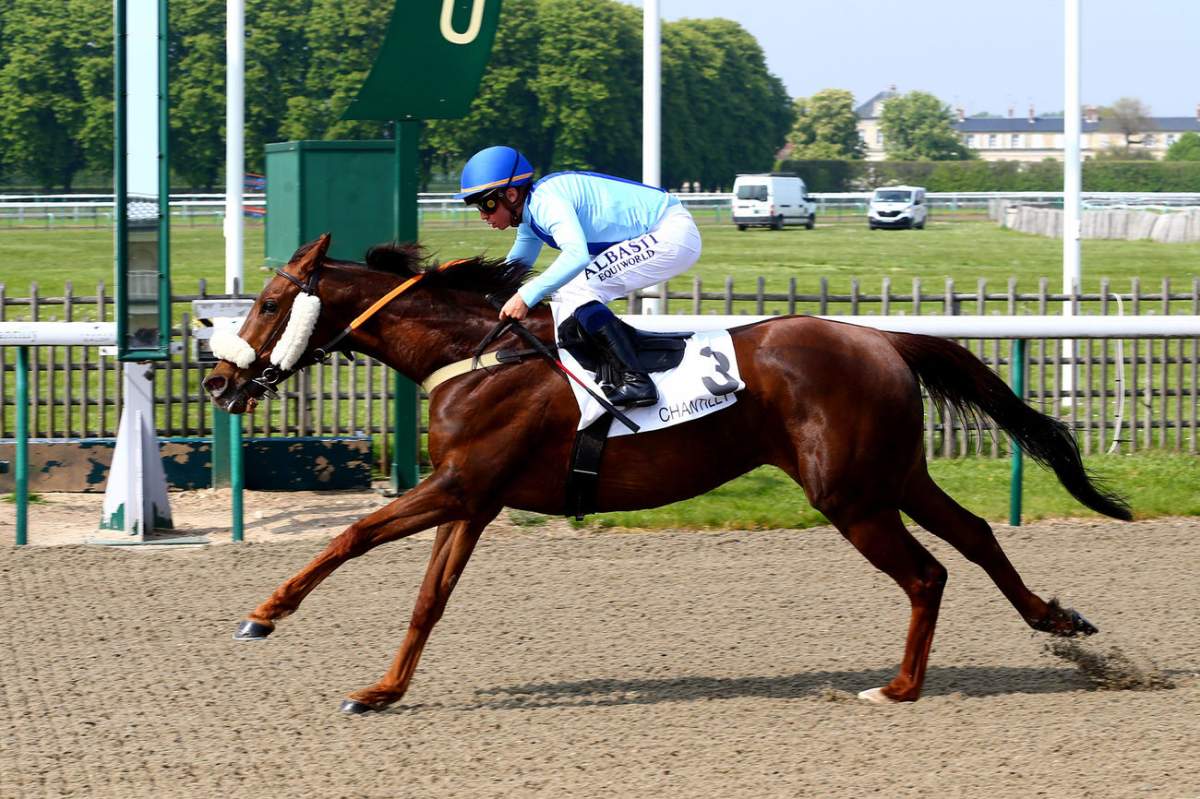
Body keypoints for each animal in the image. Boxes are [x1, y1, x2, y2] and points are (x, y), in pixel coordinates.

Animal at [202, 233, 1131, 713]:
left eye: (270, 303)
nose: (215, 381)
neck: (475, 353)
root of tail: (884, 337)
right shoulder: (476, 498)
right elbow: (430, 598)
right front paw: (384, 689)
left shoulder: (460, 488)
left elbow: (354, 532)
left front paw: (263, 614)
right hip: (892, 474)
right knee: (972, 536)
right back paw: (1059, 621)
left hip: (850, 494)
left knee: (928, 571)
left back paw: (900, 686)